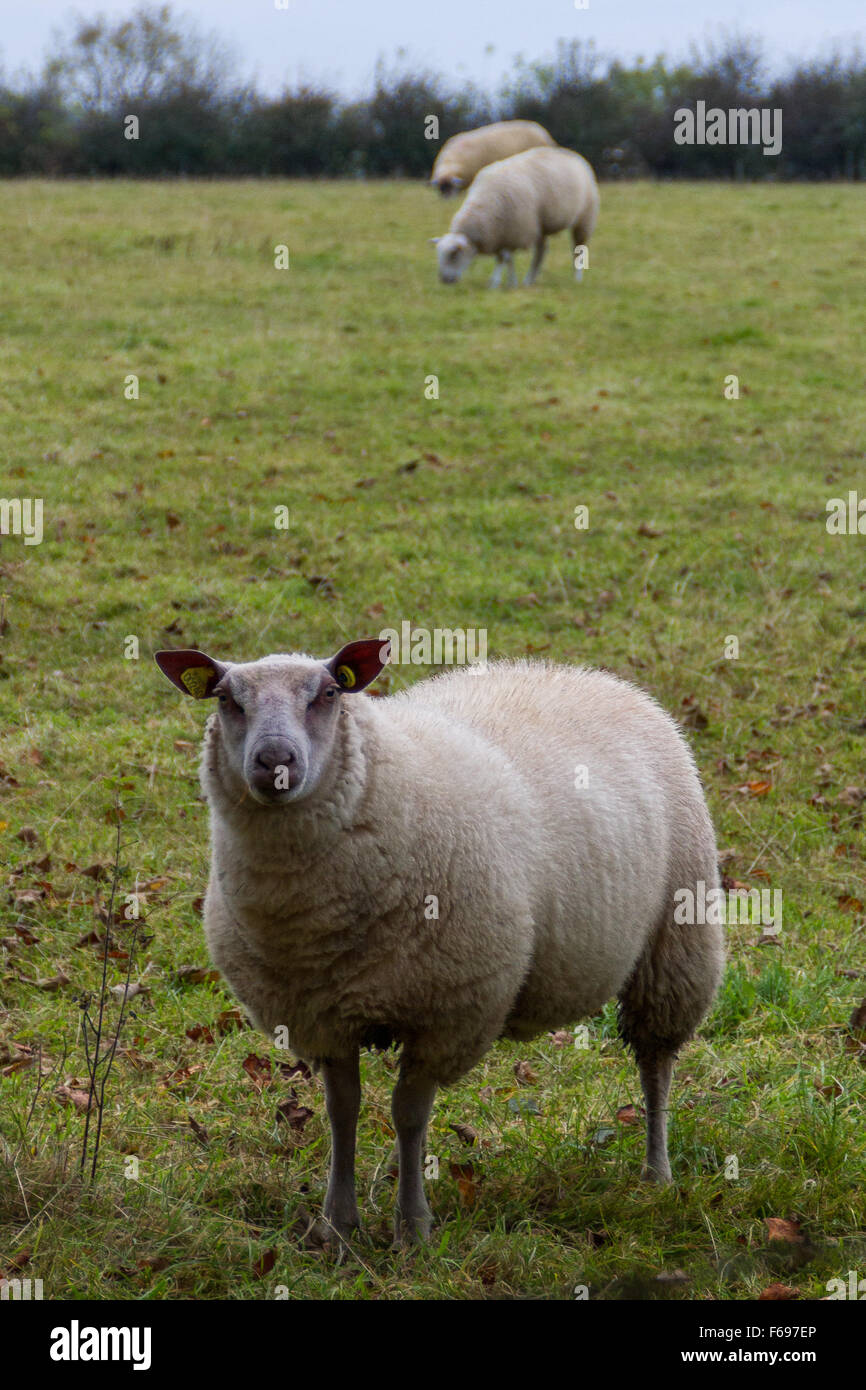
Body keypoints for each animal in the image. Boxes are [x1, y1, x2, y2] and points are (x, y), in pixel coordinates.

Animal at [155, 640, 724, 1247]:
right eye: (225, 699)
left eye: (329, 693)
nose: (275, 760)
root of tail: (585, 674)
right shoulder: (322, 1017)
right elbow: (342, 1111)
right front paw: (338, 1226)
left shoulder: (446, 1012)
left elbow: (408, 1115)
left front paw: (413, 1228)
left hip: (676, 940)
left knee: (656, 1061)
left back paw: (656, 1173)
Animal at [432, 145, 600, 288]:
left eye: (453, 255)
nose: (444, 280)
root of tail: (572, 154)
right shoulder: (502, 233)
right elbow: (507, 259)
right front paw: (510, 282)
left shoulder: (515, 230)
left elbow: (504, 258)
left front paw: (497, 283)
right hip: (540, 226)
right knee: (540, 252)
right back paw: (529, 280)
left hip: (584, 218)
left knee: (578, 250)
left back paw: (577, 278)